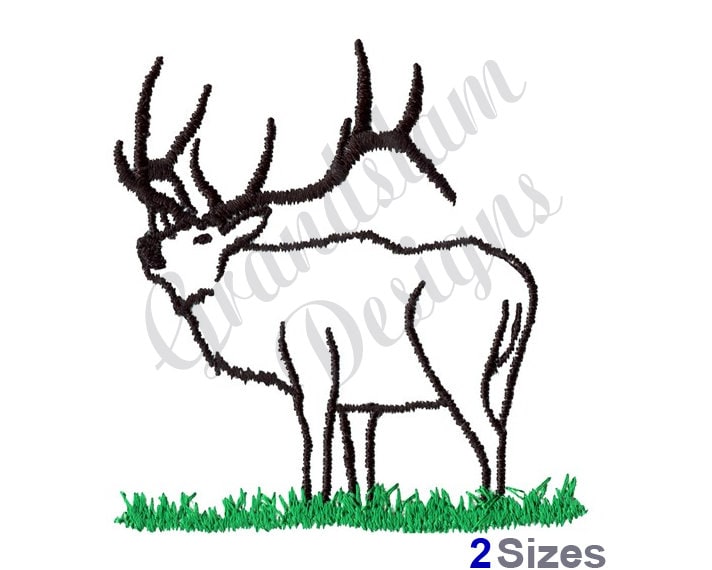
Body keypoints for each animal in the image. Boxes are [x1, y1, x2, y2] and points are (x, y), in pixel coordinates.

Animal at [114, 40, 538, 499]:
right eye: (170, 228)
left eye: (203, 238)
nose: (146, 249)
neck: (262, 324)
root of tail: (521, 292)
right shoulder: (358, 400)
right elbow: (359, 463)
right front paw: (359, 502)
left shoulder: (313, 369)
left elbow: (316, 447)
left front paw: (313, 500)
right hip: (506, 370)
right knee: (503, 423)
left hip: (458, 363)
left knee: (489, 433)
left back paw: (489, 503)